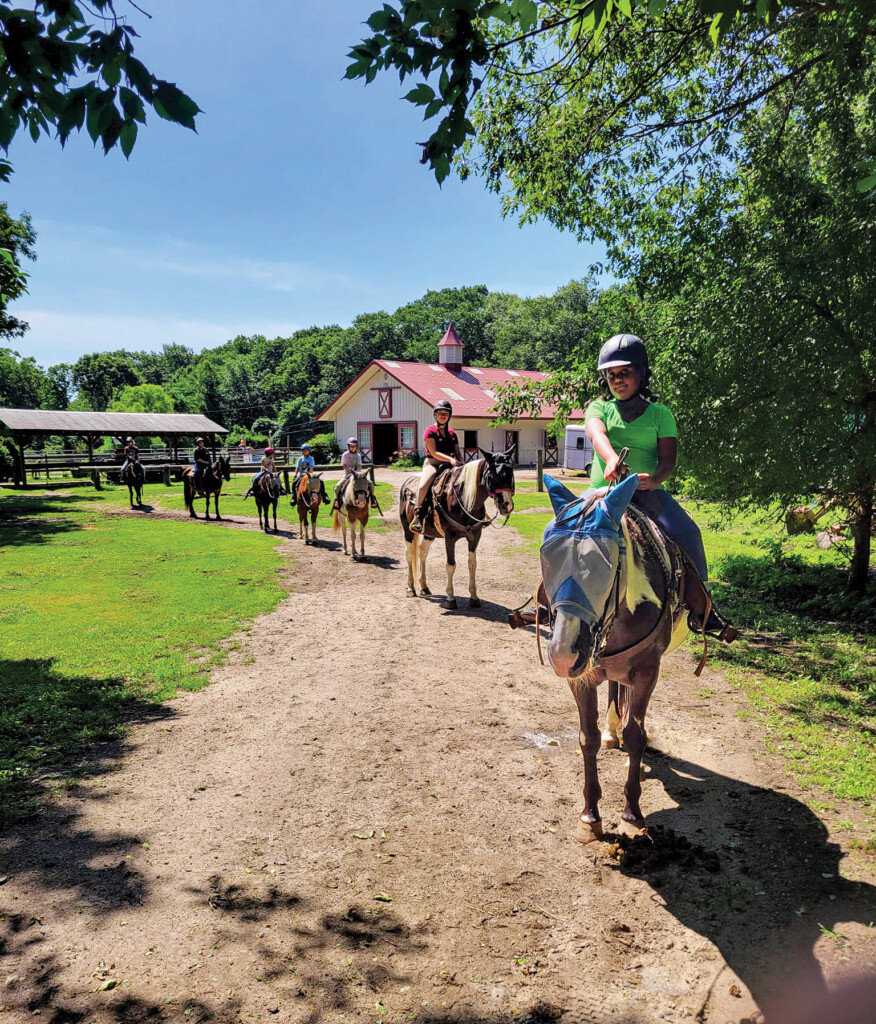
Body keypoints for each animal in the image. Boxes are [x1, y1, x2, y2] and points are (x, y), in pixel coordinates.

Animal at [399, 449, 516, 610]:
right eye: (493, 476)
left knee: (422, 553)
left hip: (429, 533)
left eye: (511, 473)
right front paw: (450, 598)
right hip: (408, 530)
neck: (464, 499)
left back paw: (424, 587)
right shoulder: (450, 537)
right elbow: (450, 565)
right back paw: (411, 588)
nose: (507, 505)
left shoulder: (475, 536)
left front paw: (474, 597)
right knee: (410, 555)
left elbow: (472, 564)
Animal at [534, 472, 691, 843]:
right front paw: (590, 815)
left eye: (604, 565)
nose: (562, 654)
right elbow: (586, 738)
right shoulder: (582, 678)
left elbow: (636, 736)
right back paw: (611, 731)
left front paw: (632, 812)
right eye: (548, 557)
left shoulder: (647, 671)